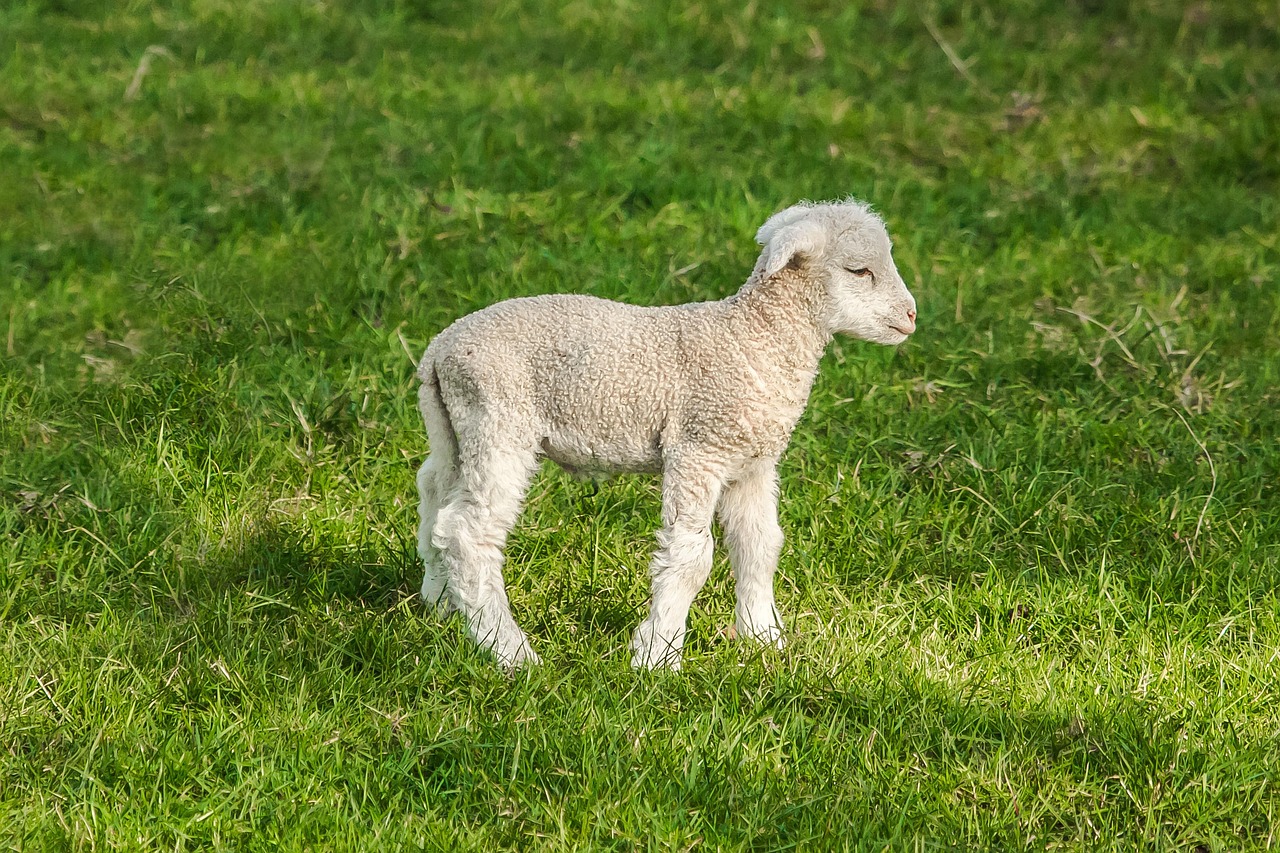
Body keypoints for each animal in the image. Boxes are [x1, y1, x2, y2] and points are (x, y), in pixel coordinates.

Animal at [414, 198, 918, 669]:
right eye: (860, 270)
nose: (912, 316)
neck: (755, 337)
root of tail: (439, 351)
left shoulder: (750, 463)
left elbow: (760, 545)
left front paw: (763, 639)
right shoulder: (699, 448)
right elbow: (691, 557)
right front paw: (657, 656)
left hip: (455, 426)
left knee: (435, 496)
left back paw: (441, 605)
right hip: (500, 419)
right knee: (469, 534)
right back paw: (510, 652)